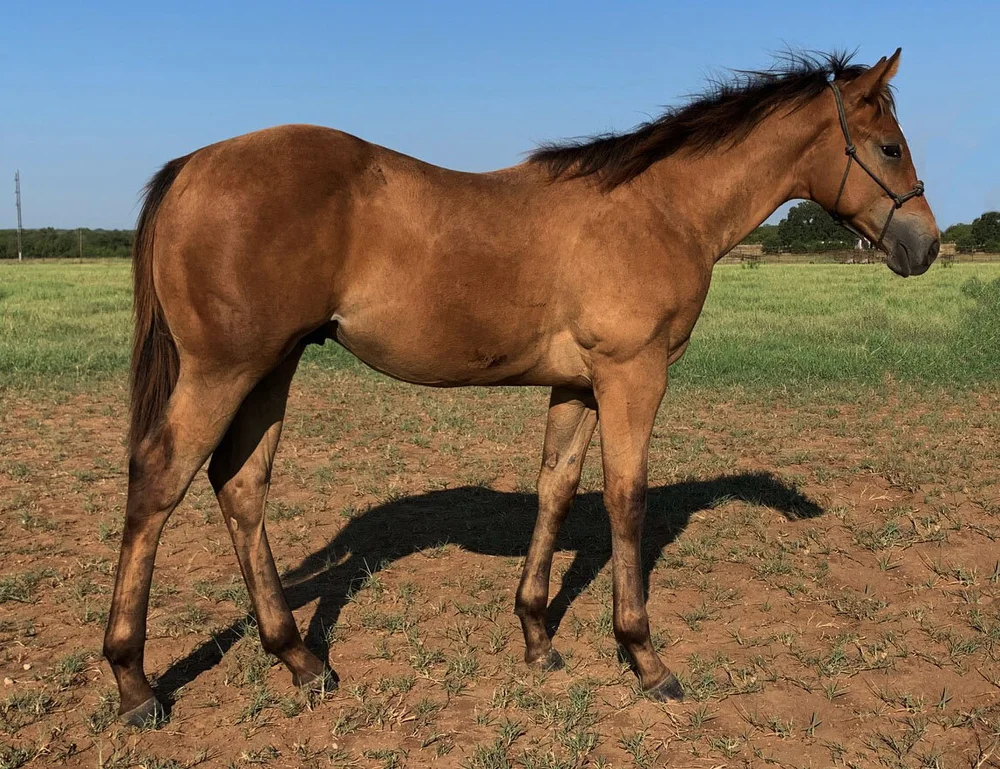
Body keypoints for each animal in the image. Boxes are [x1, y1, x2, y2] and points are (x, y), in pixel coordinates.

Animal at [103, 49, 939, 725]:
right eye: (889, 146)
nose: (925, 245)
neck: (659, 209)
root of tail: (193, 165)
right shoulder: (633, 374)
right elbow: (626, 498)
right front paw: (645, 658)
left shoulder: (577, 385)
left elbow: (557, 488)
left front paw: (537, 636)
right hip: (224, 370)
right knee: (160, 481)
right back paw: (135, 683)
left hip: (272, 367)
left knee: (240, 485)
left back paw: (300, 659)